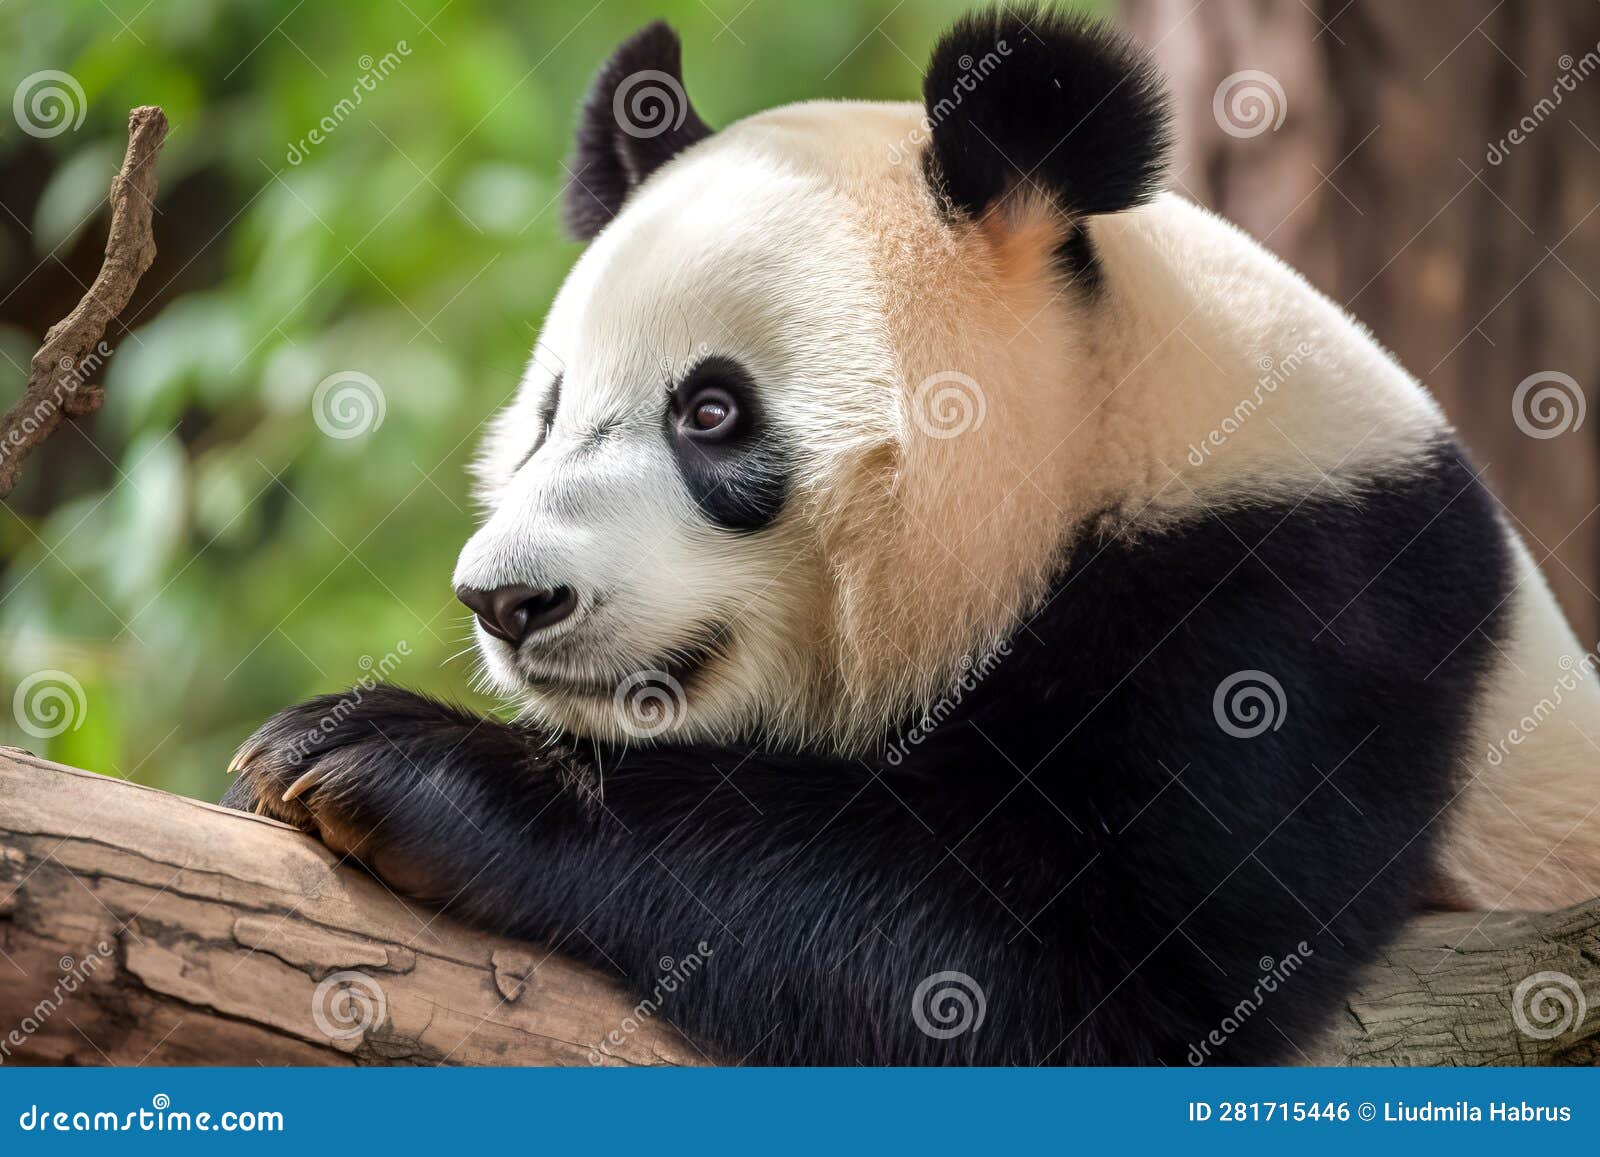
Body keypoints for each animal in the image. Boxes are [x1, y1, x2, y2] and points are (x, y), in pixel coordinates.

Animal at [226, 7, 1600, 1065]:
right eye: (549, 414)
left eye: (712, 411)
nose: (509, 599)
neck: (1107, 436)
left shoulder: (1298, 609)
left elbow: (1068, 980)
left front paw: (391, 757)